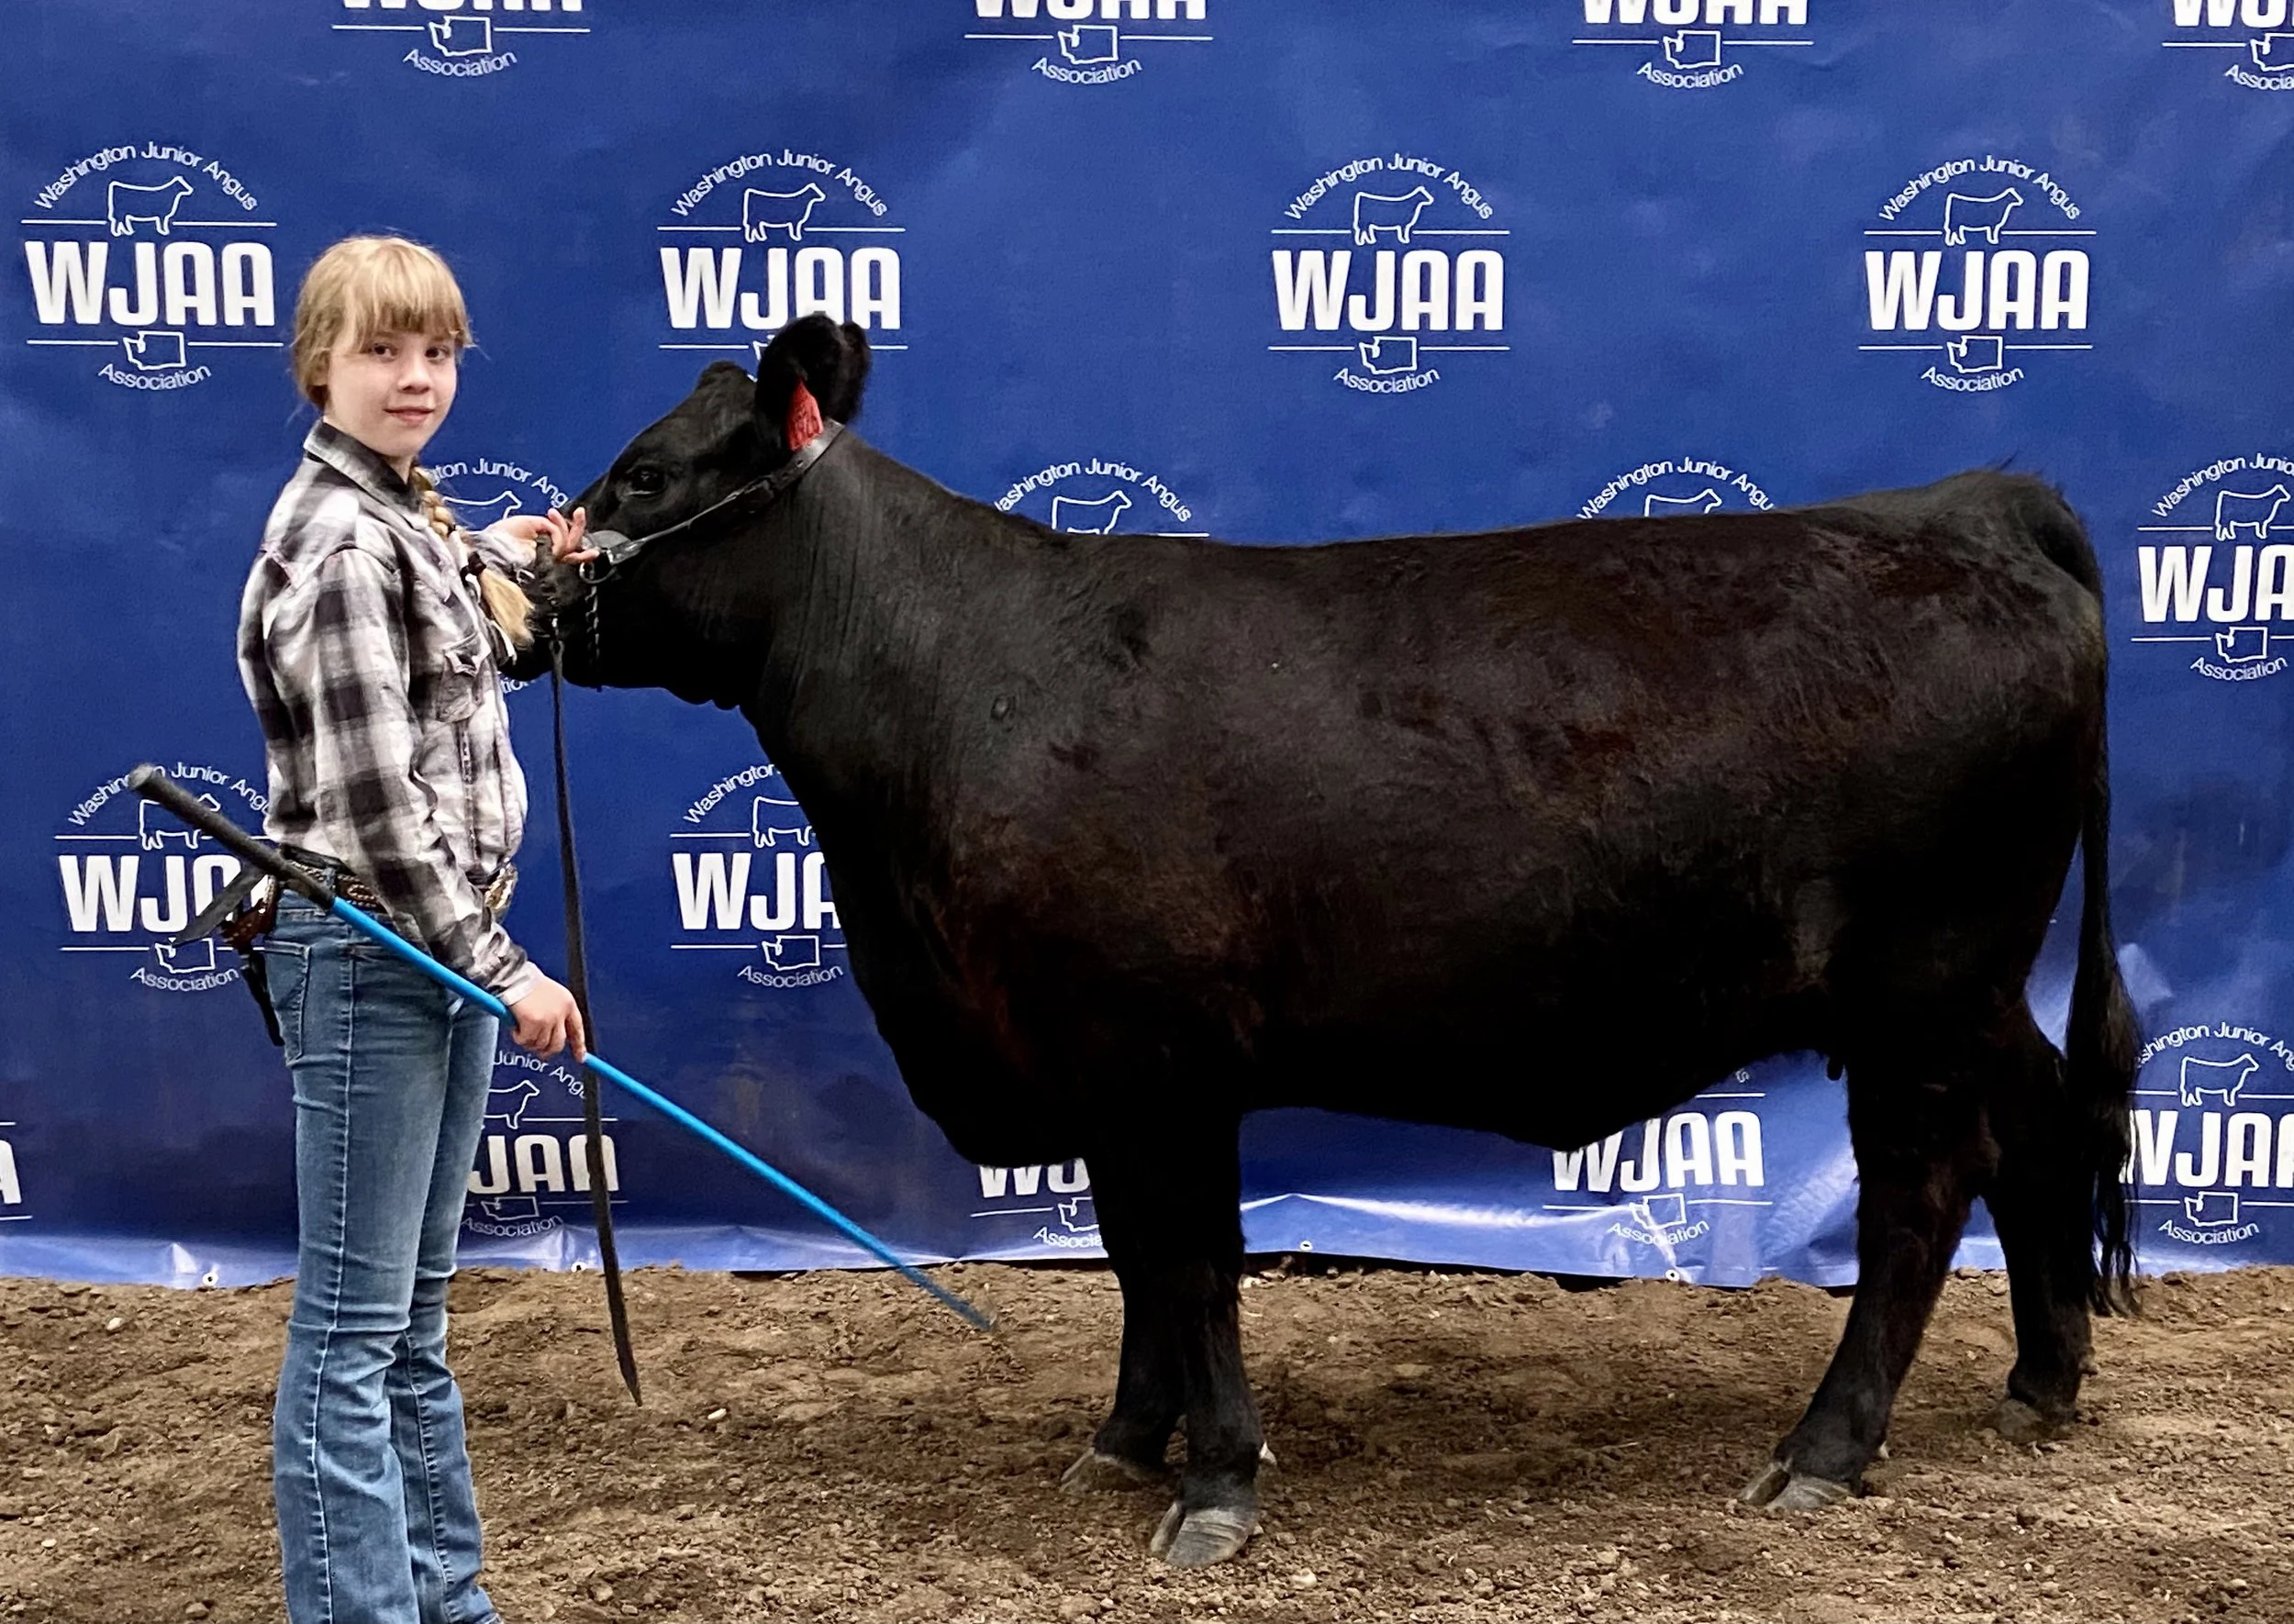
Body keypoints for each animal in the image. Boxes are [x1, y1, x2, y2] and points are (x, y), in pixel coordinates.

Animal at [520, 315, 2139, 1568]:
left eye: (648, 472)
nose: (519, 580)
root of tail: (1966, 508)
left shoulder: (1153, 1053)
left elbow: (1188, 1258)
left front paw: (1214, 1482)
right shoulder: (1101, 1067)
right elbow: (1133, 1254)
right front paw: (1127, 1435)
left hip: (1923, 982)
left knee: (1920, 1198)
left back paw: (1825, 1447)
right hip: (1973, 986)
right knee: (2044, 1116)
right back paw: (2042, 1378)